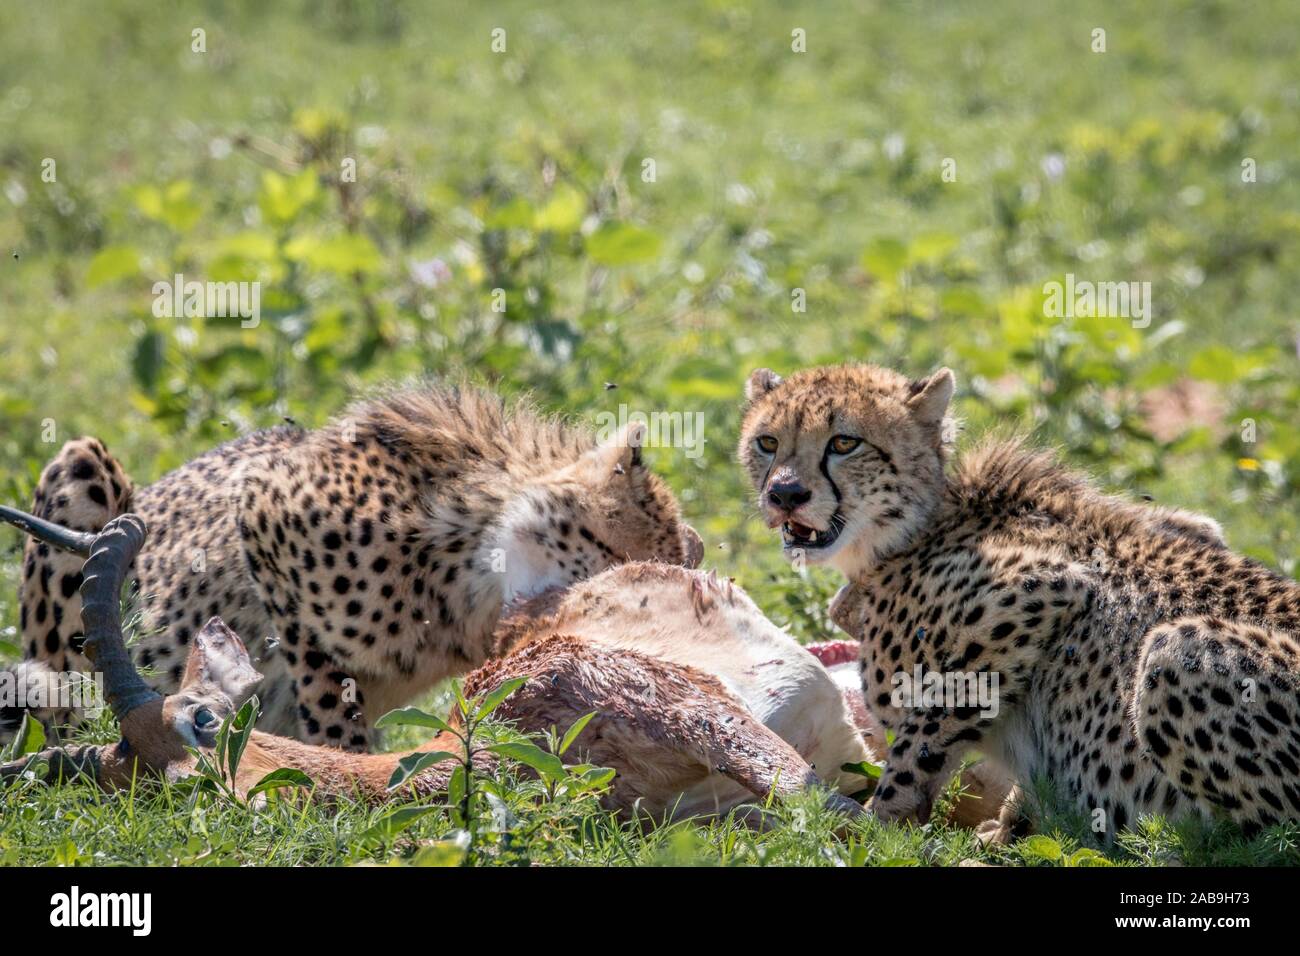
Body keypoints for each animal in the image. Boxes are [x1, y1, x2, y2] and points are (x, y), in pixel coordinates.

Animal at [739, 361, 1300, 840]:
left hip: (1178, 647)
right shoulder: (1193, 527)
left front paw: (879, 827)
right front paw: (1011, 828)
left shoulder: (1041, 589)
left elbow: (921, 739)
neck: (909, 529)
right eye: (767, 442)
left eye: (844, 442)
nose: (785, 495)